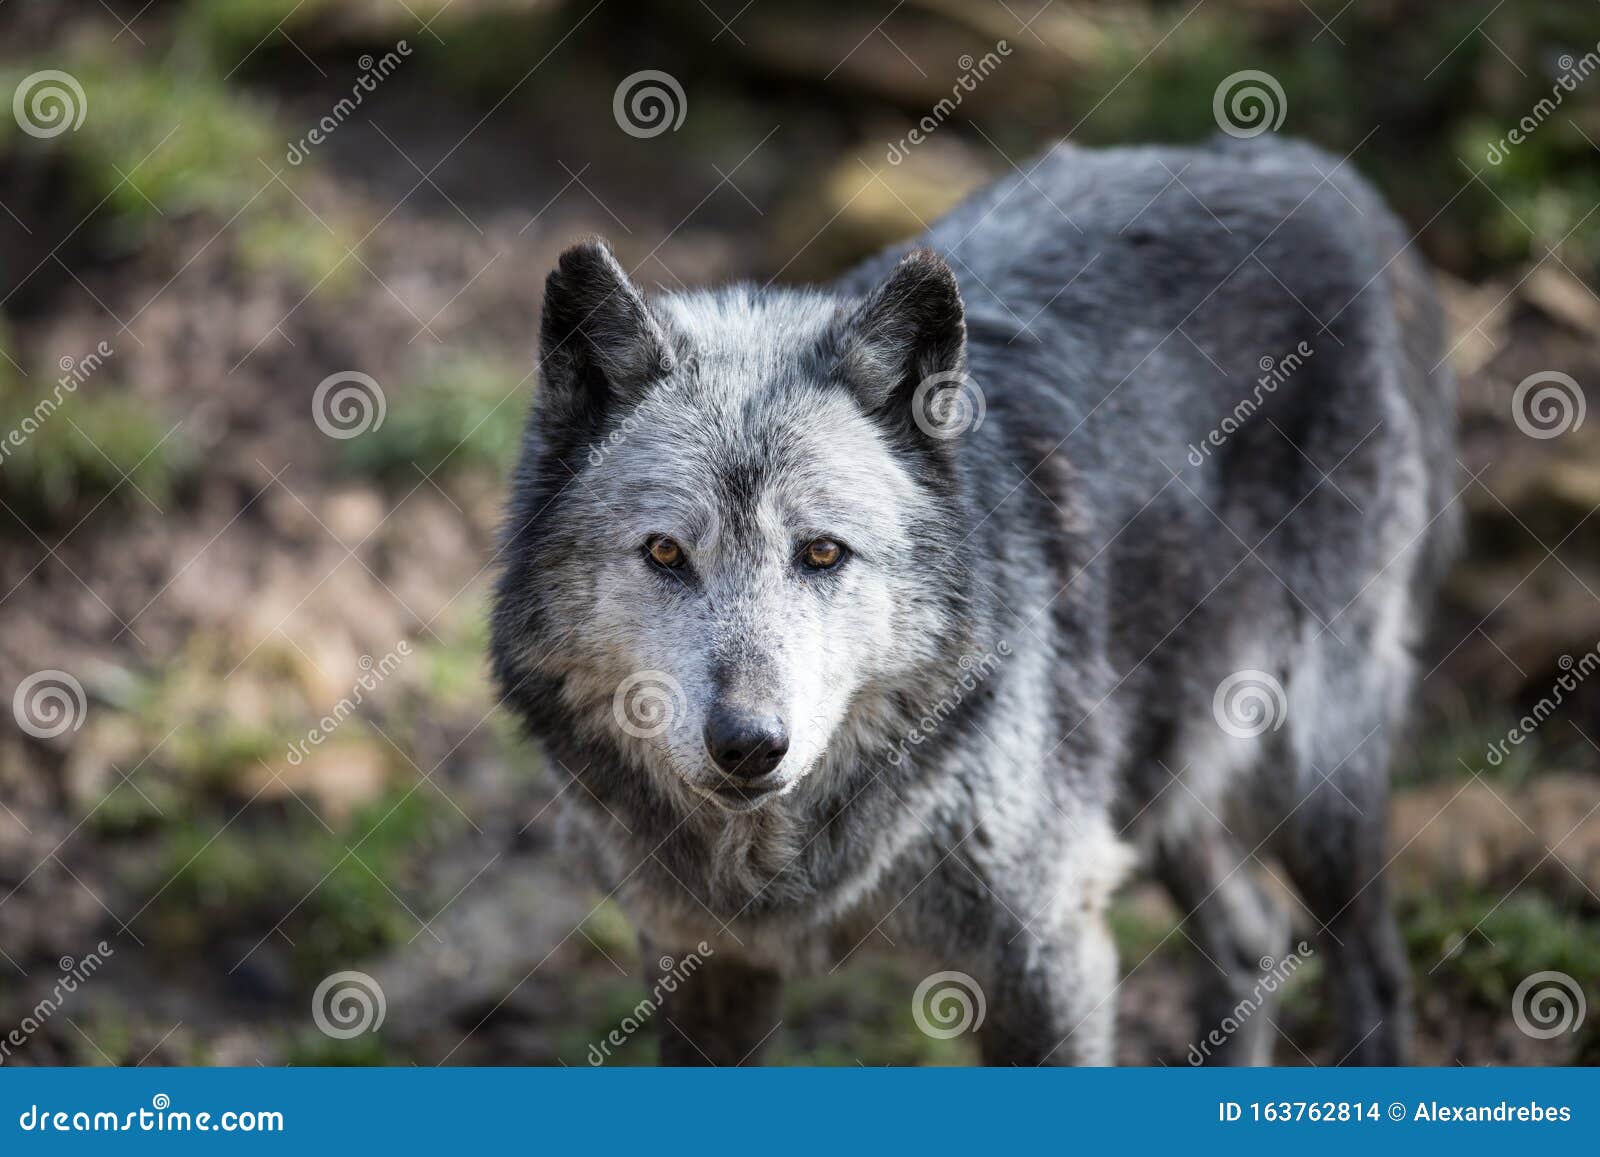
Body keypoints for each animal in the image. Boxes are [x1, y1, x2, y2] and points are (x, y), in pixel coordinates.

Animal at [490, 135, 1456, 1066]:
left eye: (822, 552)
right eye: (665, 552)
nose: (749, 744)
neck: (792, 863)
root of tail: (1319, 170)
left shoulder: (1048, 953)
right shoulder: (708, 966)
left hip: (1312, 773)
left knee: (1371, 968)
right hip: (1161, 761)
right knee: (1251, 937)